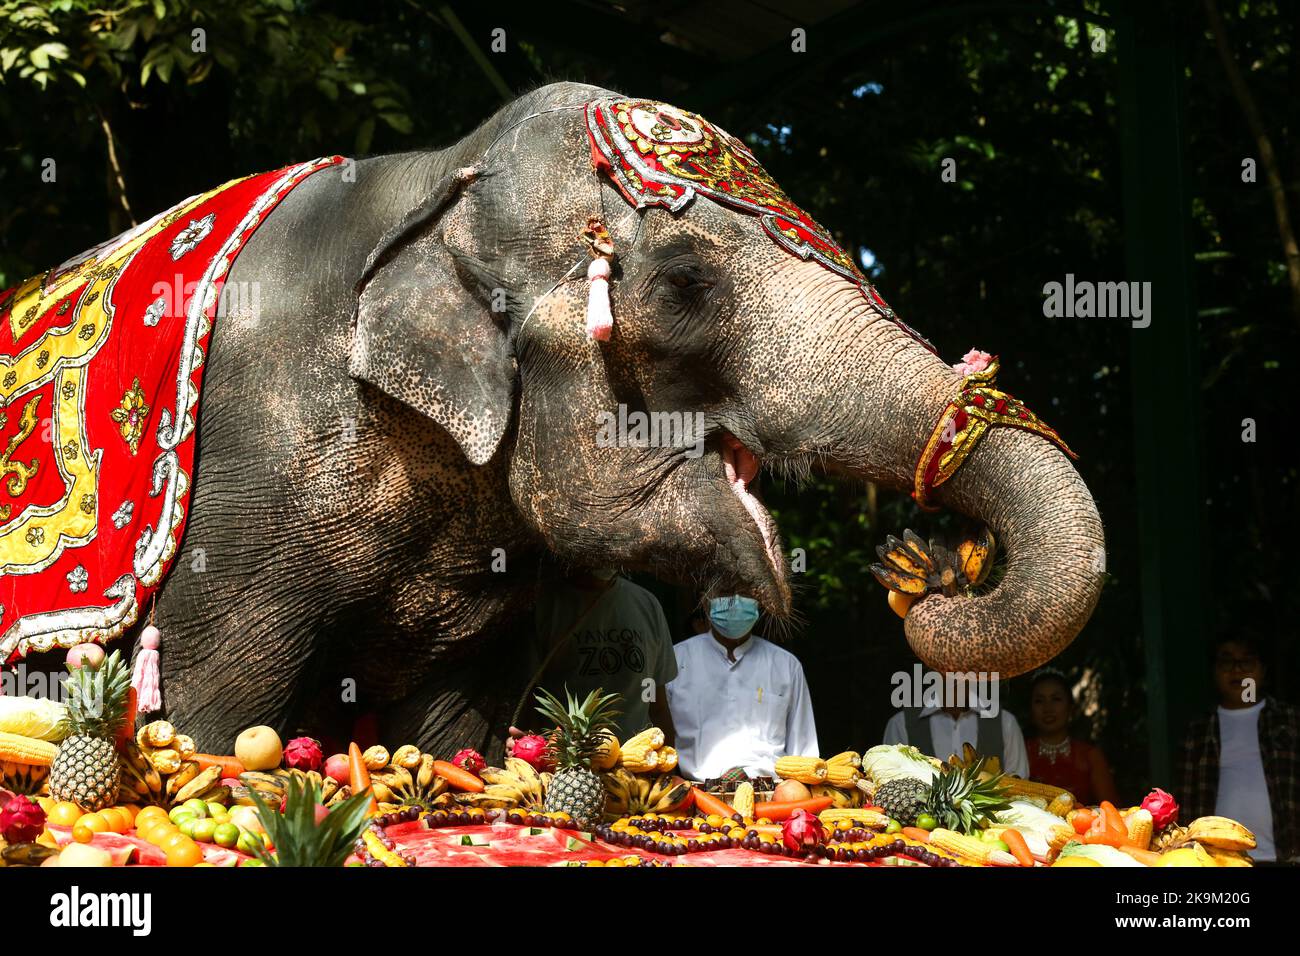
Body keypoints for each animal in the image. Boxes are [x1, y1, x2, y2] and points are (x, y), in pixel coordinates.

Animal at [92, 81, 1104, 755]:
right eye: (686, 283)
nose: (929, 569)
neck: (434, 176)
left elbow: (450, 733)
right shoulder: (241, 500)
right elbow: (216, 716)